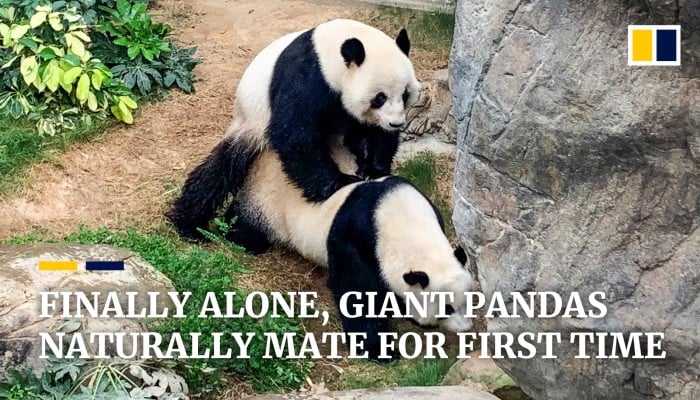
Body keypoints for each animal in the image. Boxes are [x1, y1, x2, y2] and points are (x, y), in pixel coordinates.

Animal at [168, 19, 421, 239]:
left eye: (405, 94)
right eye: (379, 98)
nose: (396, 123)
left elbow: (374, 133)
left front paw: (373, 170)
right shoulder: (307, 76)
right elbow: (294, 133)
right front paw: (339, 182)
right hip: (250, 123)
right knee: (219, 172)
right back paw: (189, 225)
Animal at [223, 125, 474, 361]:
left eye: (468, 300)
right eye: (446, 309)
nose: (465, 328)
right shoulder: (356, 237)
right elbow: (357, 293)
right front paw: (380, 350)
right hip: (267, 201)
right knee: (248, 227)